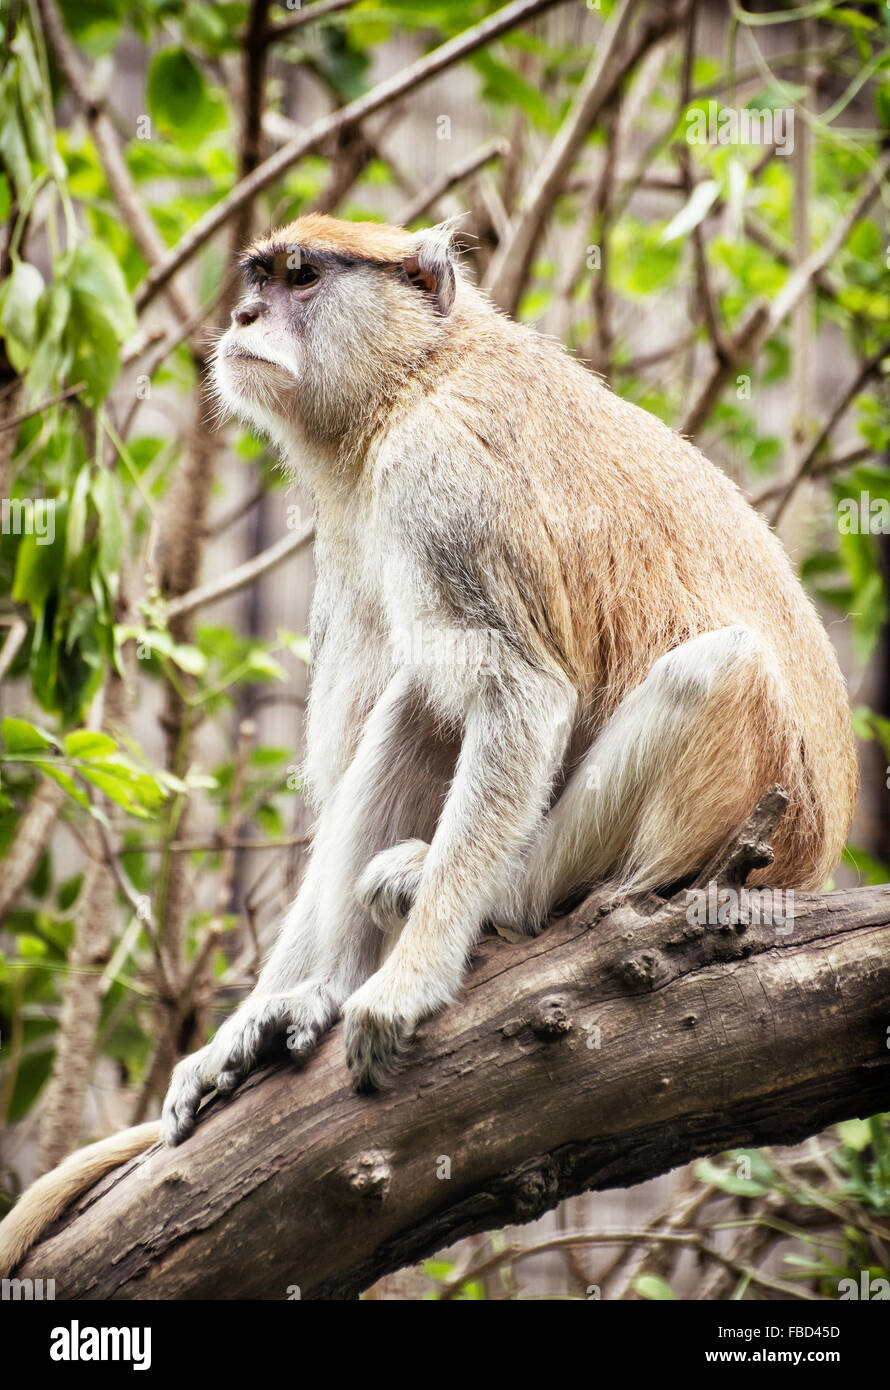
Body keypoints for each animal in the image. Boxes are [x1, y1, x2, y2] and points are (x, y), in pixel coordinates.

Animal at [0, 213, 858, 1276]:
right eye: (259, 278)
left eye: (299, 279)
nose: (243, 319)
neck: (421, 371)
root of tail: (816, 859)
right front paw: (256, 1024)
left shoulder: (440, 479)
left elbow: (522, 692)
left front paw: (404, 988)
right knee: (417, 698)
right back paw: (312, 997)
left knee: (716, 669)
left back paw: (497, 900)